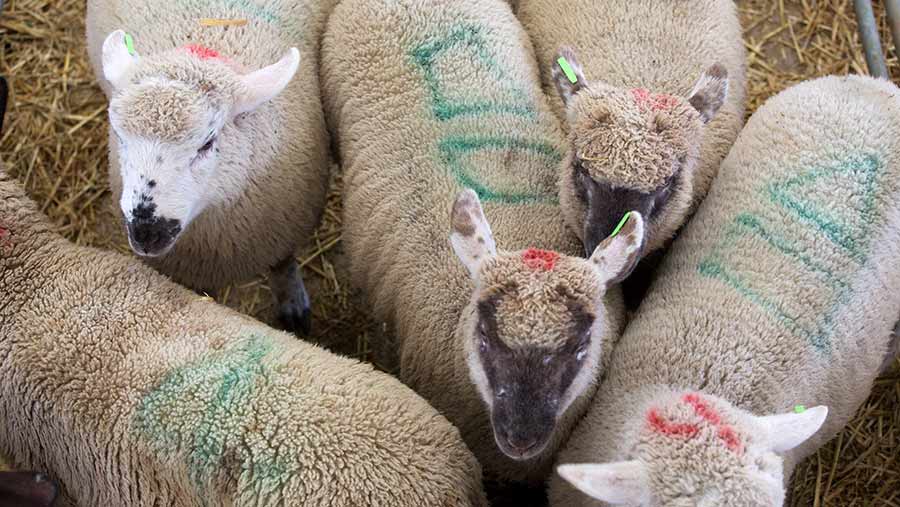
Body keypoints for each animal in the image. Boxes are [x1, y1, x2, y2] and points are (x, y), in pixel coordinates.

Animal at [84, 0, 335, 334]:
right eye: (118, 135)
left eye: (207, 143)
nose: (146, 231)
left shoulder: (283, 229)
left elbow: (284, 266)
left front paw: (294, 307)